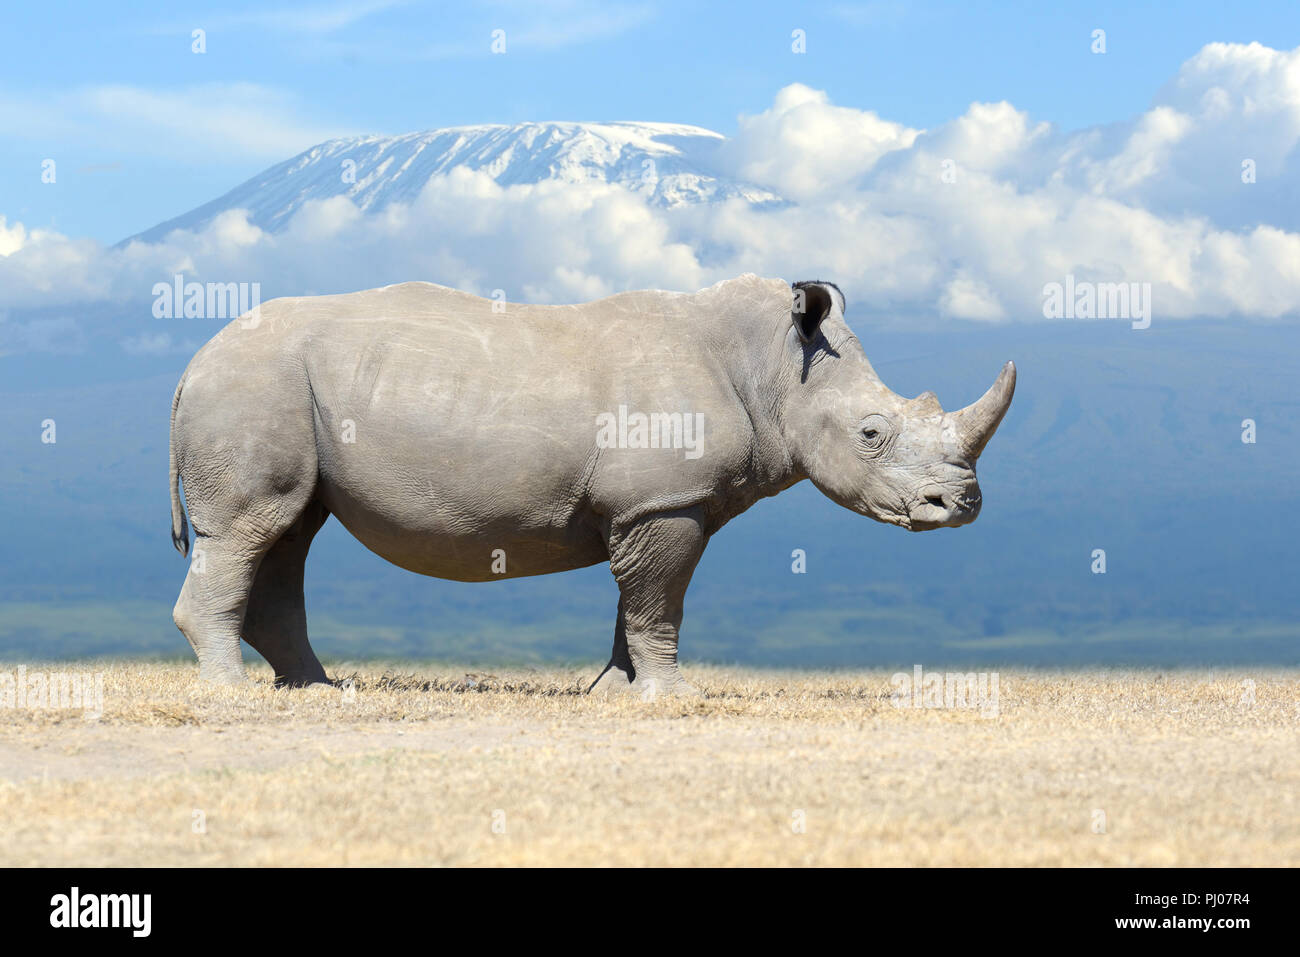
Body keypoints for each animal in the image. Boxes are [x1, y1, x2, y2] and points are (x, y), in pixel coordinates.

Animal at [168, 274, 1014, 694]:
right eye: (872, 434)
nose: (961, 506)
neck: (775, 367)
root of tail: (190, 363)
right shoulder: (666, 501)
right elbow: (660, 599)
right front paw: (671, 696)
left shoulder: (650, 503)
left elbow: (635, 599)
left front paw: (613, 690)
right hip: (252, 383)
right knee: (250, 530)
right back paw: (231, 692)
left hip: (276, 387)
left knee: (288, 533)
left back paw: (315, 688)